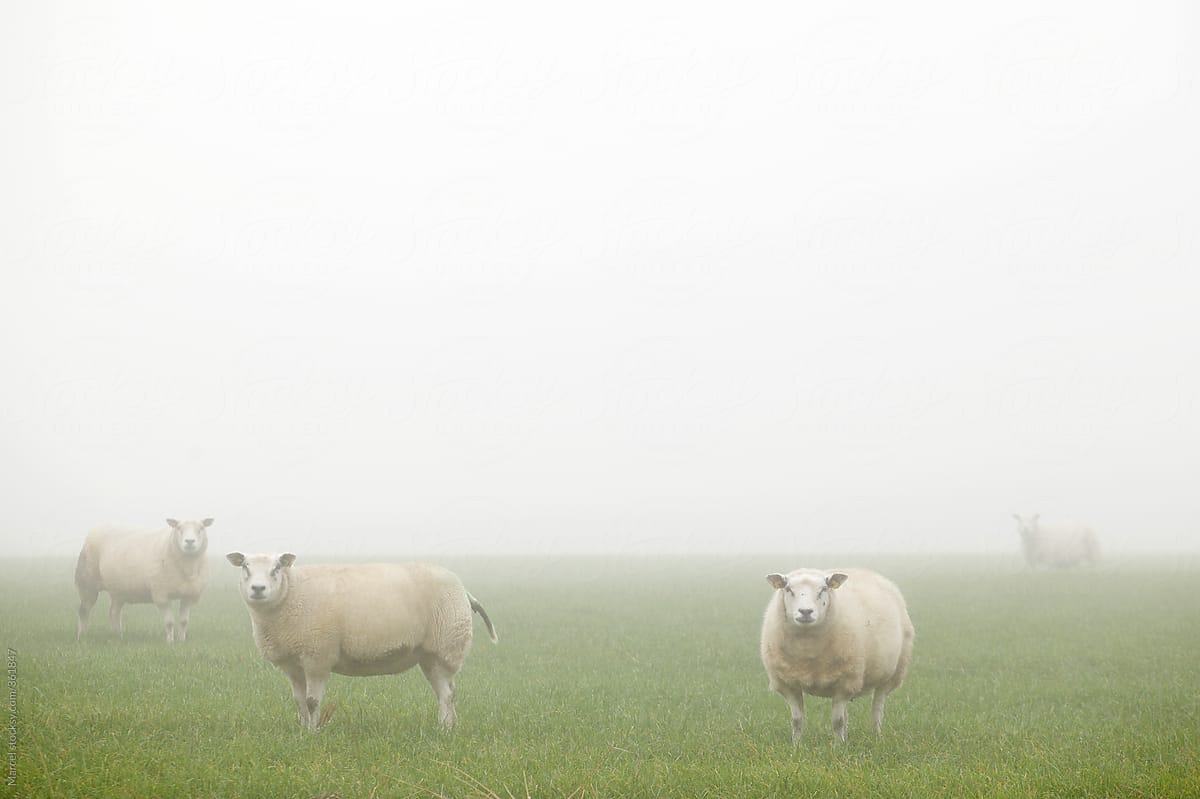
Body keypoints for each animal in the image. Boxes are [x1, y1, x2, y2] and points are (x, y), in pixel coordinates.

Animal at [75, 518, 213, 643]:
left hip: (119, 590)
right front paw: (170, 642)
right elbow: (169, 622)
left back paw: (118, 635)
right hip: (87, 582)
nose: (189, 541)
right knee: (84, 610)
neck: (188, 568)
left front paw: (182, 640)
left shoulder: (189, 595)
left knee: (114, 613)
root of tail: (95, 530)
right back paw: (82, 635)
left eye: (201, 528)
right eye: (178, 528)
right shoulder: (161, 595)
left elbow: (184, 621)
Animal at [225, 552, 497, 731]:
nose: (258, 589)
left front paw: (313, 733)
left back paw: (443, 730)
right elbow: (299, 701)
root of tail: (464, 590)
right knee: (446, 691)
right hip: (430, 655)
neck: (291, 593)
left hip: (446, 647)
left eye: (276, 569)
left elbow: (312, 702)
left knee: (447, 694)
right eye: (245, 567)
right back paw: (450, 727)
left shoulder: (317, 656)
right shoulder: (292, 664)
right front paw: (303, 731)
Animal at [760, 567, 914, 743]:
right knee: (847, 714)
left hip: (893, 673)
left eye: (823, 589)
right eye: (788, 589)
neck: (808, 652)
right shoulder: (787, 684)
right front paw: (796, 745)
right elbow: (797, 720)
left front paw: (838, 746)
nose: (805, 611)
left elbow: (837, 721)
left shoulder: (846, 681)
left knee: (877, 708)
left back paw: (876, 736)